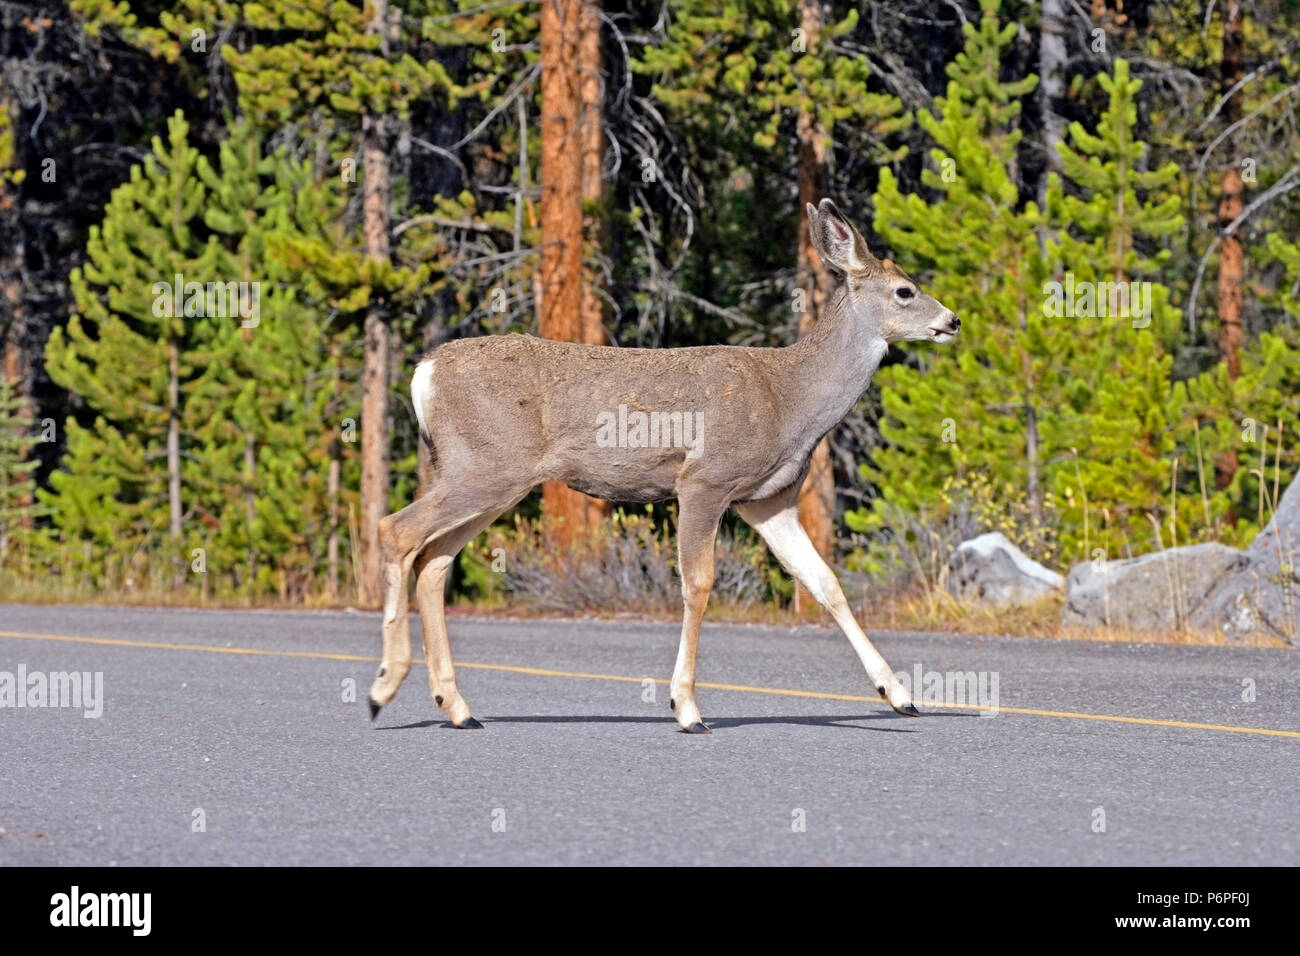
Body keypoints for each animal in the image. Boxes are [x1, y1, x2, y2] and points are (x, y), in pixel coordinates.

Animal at [366, 199, 960, 733]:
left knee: (434, 561)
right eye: (905, 291)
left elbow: (825, 581)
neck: (790, 399)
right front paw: (687, 708)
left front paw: (899, 695)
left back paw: (456, 707)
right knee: (396, 531)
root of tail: (423, 372)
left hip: (490, 476)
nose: (952, 320)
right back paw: (383, 688)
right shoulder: (704, 479)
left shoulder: (768, 500)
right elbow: (698, 583)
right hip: (485, 465)